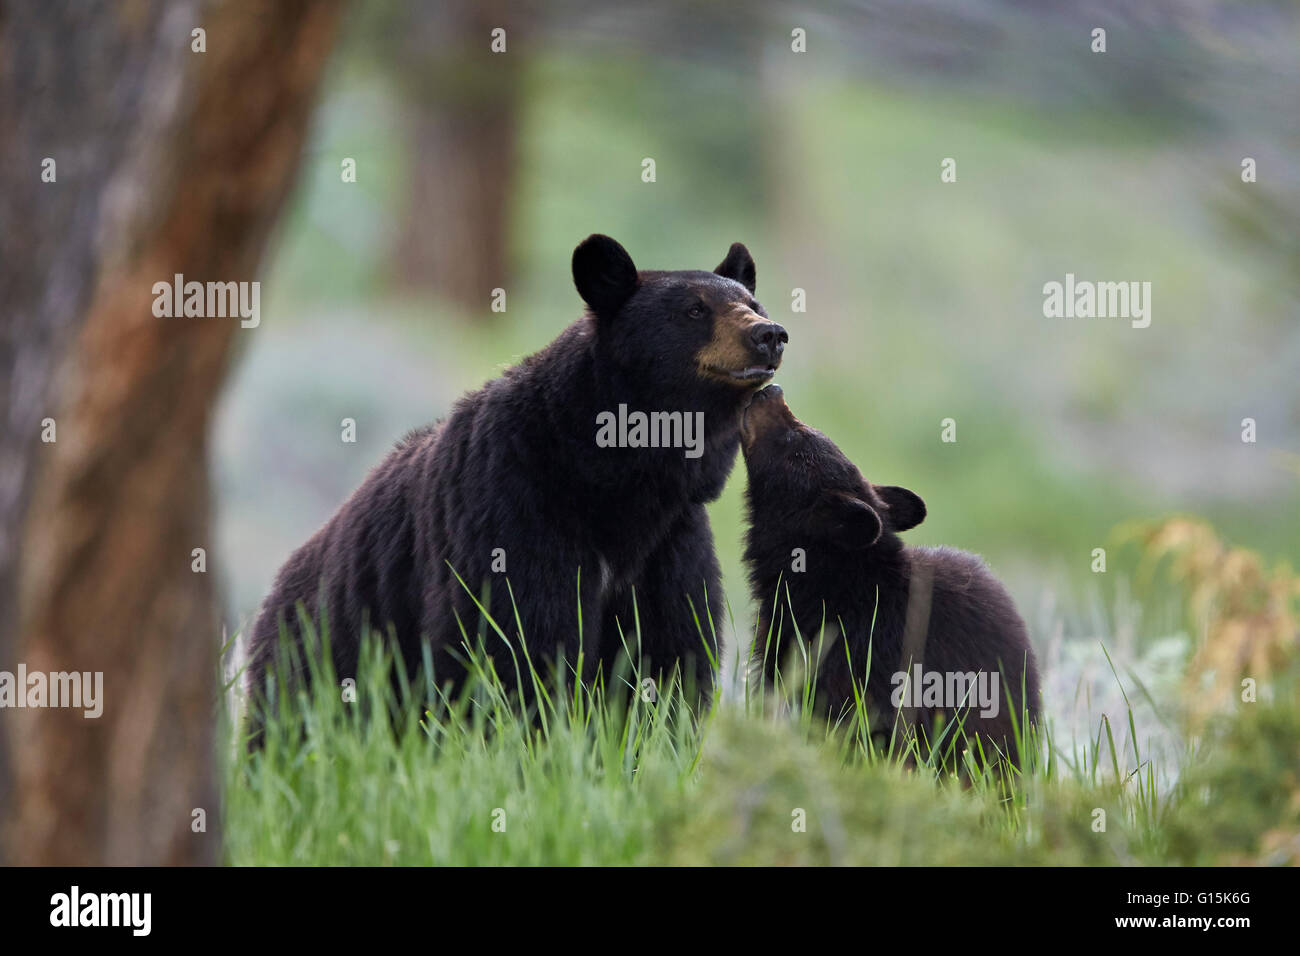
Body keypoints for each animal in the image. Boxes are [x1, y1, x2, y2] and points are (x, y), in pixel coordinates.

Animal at [244, 234, 787, 743]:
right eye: (695, 309)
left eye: (753, 303)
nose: (769, 334)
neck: (613, 480)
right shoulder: (512, 506)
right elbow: (517, 638)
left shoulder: (671, 540)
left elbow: (668, 650)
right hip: (319, 653)